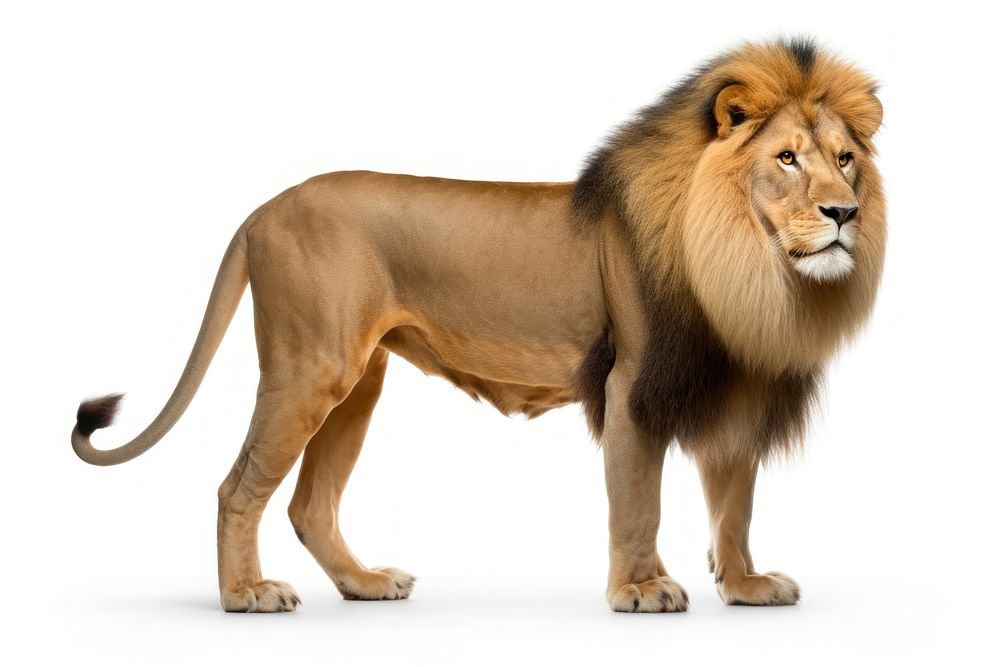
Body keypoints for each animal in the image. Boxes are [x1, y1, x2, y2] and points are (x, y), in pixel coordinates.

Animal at [71, 37, 885, 613]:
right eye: (786, 158)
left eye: (846, 159)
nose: (844, 212)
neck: (749, 268)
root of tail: (263, 209)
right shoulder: (631, 383)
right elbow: (637, 500)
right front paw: (641, 589)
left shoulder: (733, 382)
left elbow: (734, 500)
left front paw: (744, 585)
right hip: (311, 368)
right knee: (236, 488)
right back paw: (245, 594)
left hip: (358, 383)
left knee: (308, 504)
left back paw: (364, 584)